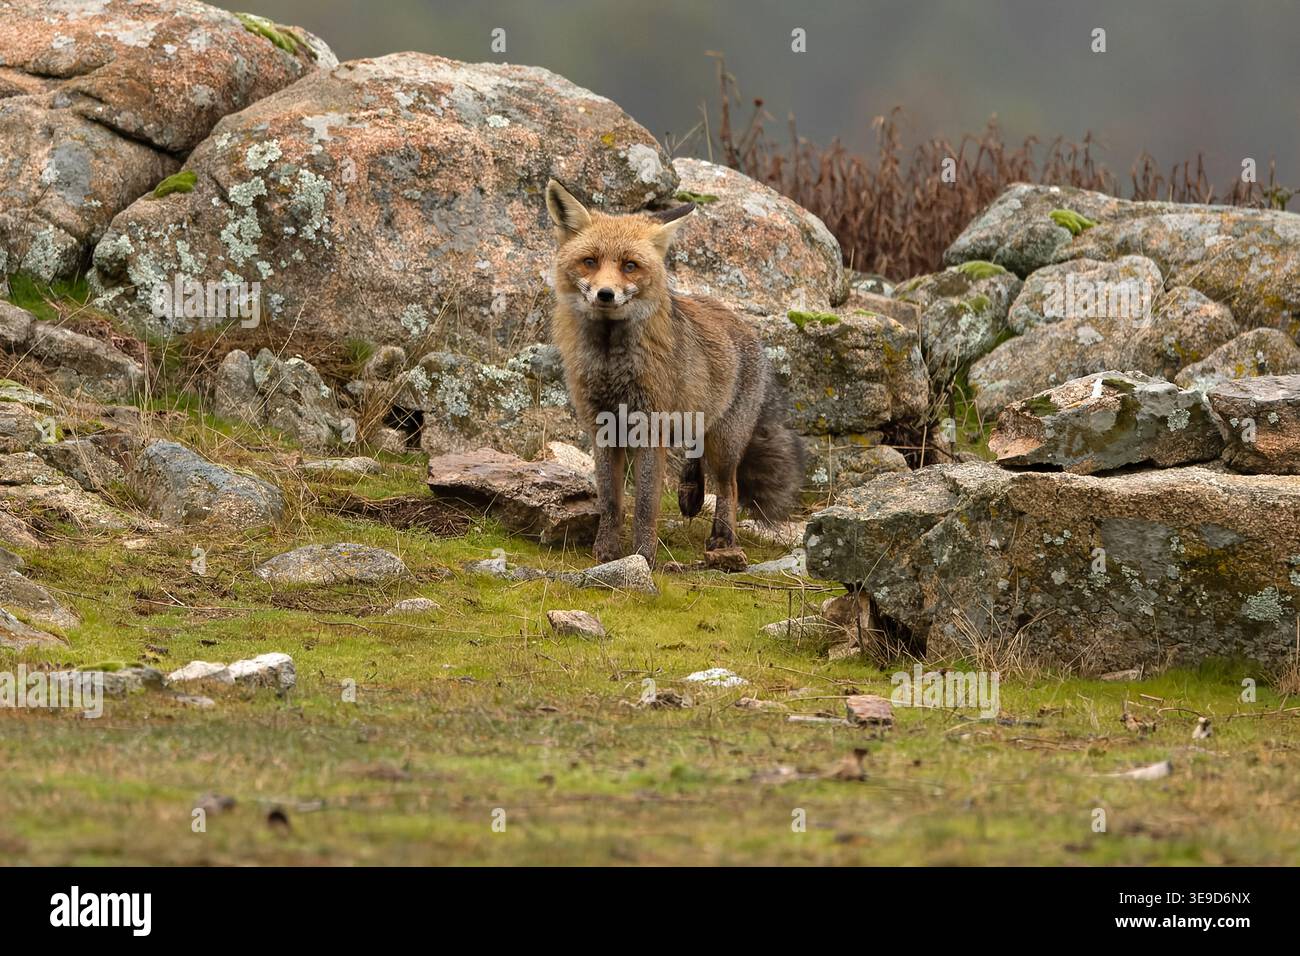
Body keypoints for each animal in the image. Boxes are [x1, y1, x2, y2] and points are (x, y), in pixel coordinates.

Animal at [544, 179, 806, 565]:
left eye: (630, 266)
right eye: (589, 262)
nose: (605, 294)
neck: (611, 359)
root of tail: (744, 325)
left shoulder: (650, 427)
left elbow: (645, 505)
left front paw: (643, 555)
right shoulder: (601, 426)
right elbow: (610, 500)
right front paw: (606, 552)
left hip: (724, 443)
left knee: (729, 486)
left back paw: (722, 539)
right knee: (695, 457)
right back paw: (690, 493)